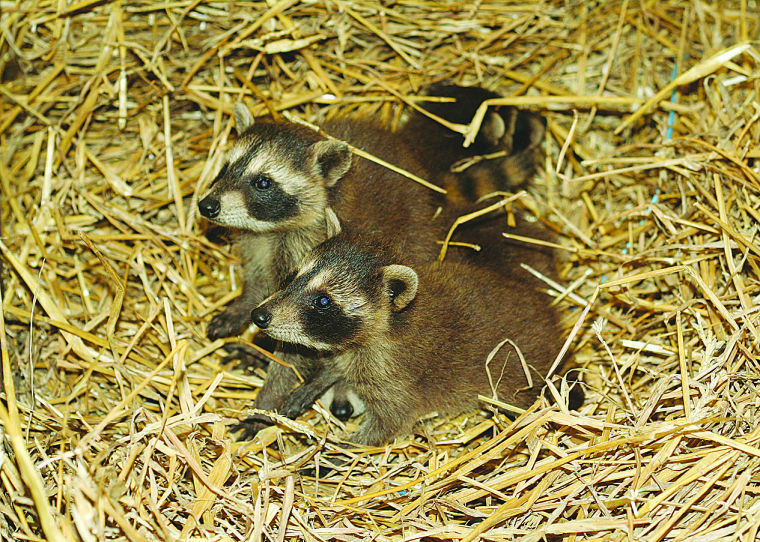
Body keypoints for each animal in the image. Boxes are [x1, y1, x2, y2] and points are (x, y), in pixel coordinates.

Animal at [250, 233, 567, 446]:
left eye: (323, 301)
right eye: (293, 276)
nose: (260, 315)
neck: (393, 322)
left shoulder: (395, 375)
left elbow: (390, 422)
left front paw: (341, 449)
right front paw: (321, 378)